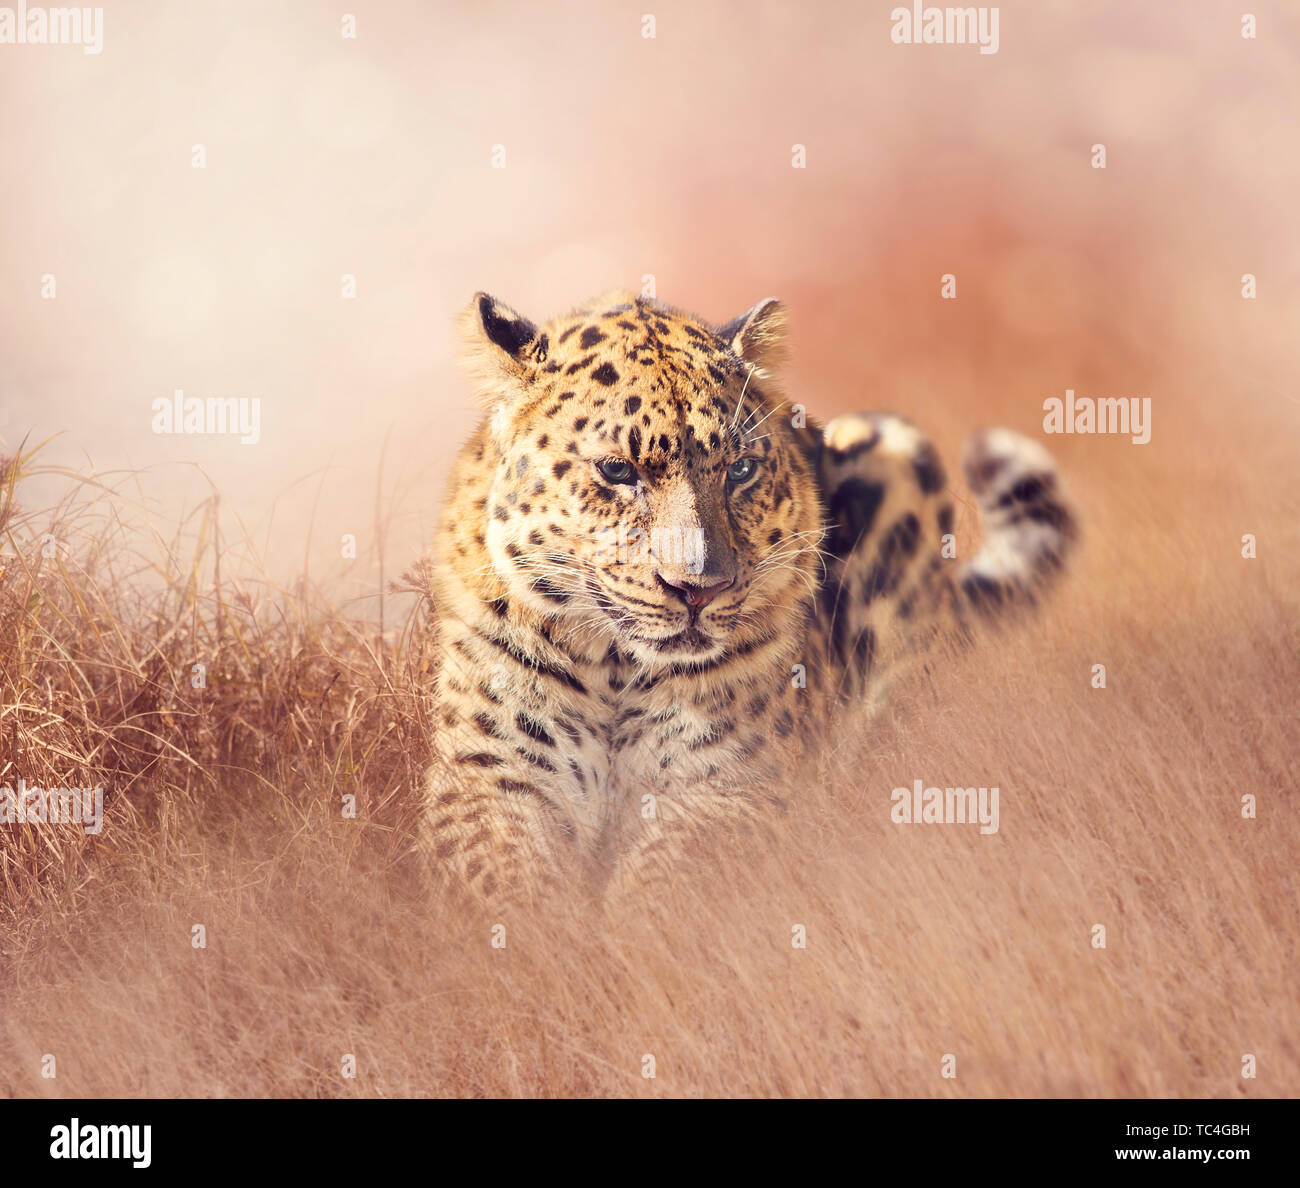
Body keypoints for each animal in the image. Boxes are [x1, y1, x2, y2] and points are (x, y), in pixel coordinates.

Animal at [420, 290, 1078, 906]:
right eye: (616, 471)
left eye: (738, 471)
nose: (698, 588)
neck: (615, 672)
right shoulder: (490, 777)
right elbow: (510, 887)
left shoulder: (729, 785)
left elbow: (661, 893)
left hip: (892, 453)